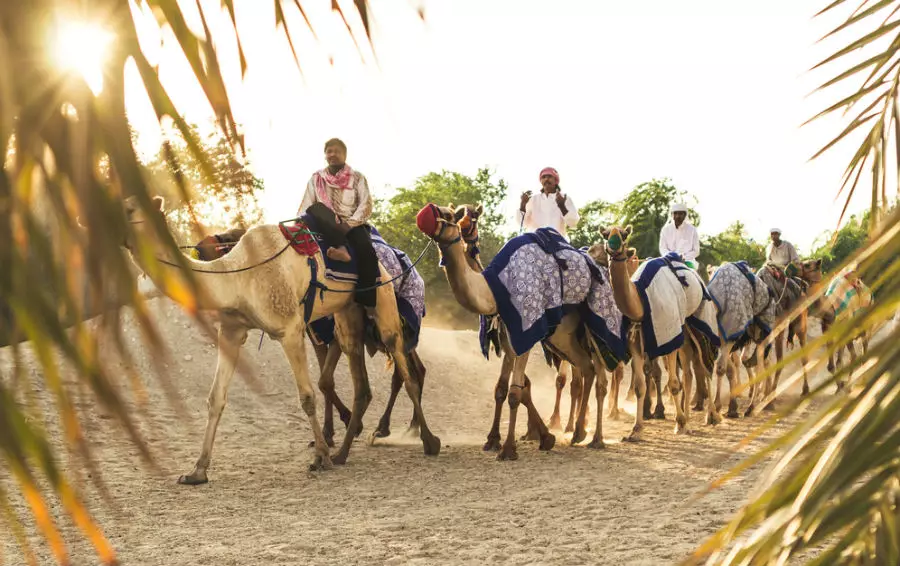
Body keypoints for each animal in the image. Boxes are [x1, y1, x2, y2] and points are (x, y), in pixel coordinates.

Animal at [122, 197, 440, 486]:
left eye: (129, 208)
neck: (239, 275)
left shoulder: (290, 329)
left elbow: (307, 396)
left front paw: (320, 457)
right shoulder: (232, 329)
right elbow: (215, 398)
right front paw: (197, 471)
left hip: (383, 301)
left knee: (406, 371)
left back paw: (427, 440)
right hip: (348, 313)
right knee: (362, 382)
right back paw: (344, 453)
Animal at [418, 205, 624, 462]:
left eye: (448, 215)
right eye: (458, 215)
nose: (423, 216)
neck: (493, 292)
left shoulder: (525, 333)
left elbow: (515, 392)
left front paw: (509, 448)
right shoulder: (508, 339)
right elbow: (500, 389)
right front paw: (494, 440)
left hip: (591, 329)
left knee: (600, 379)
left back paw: (594, 438)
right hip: (562, 337)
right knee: (586, 369)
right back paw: (577, 432)